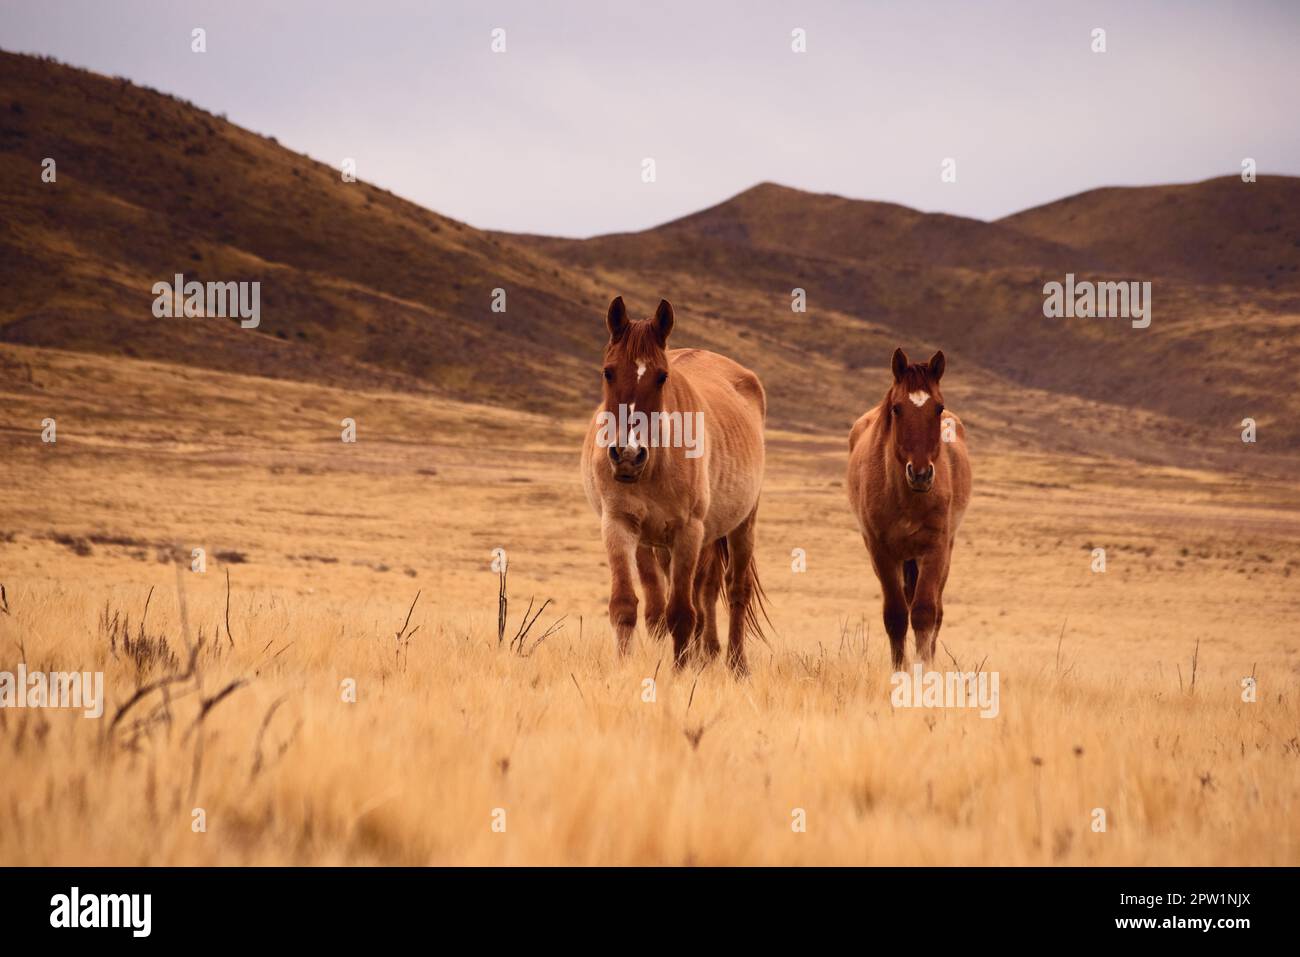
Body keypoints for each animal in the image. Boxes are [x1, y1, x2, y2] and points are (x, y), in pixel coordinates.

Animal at [581, 297, 769, 674]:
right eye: (608, 371)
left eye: (661, 377)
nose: (627, 454)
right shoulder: (619, 525)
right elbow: (626, 604)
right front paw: (623, 668)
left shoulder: (688, 532)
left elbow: (682, 611)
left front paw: (680, 672)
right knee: (697, 592)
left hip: (742, 524)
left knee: (734, 589)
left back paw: (736, 664)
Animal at [847, 348, 971, 669]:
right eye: (897, 408)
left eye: (938, 408)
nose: (921, 474)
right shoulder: (881, 552)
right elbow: (895, 615)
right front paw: (899, 668)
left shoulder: (935, 549)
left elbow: (925, 613)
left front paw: (923, 668)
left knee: (936, 611)